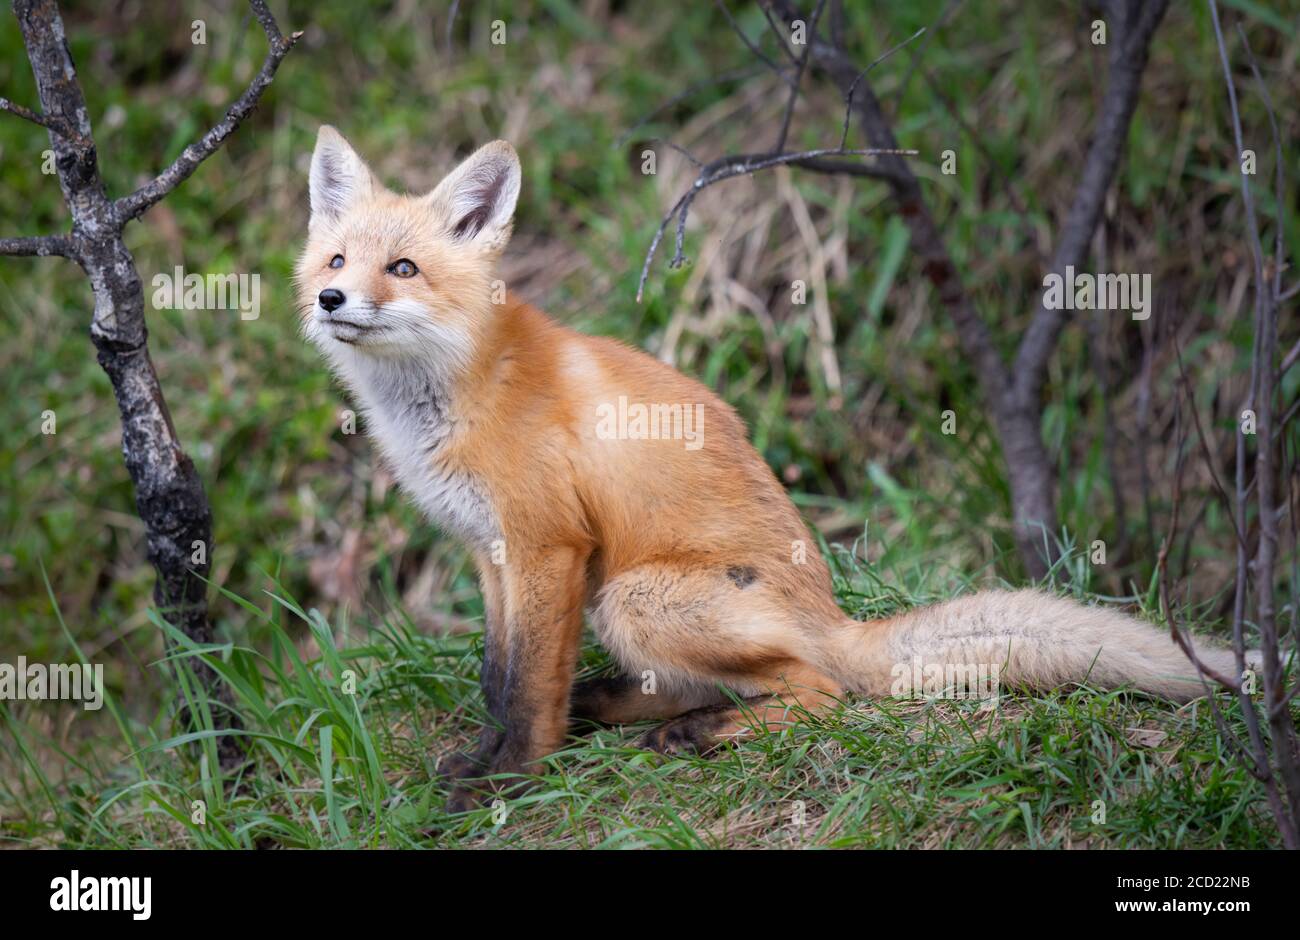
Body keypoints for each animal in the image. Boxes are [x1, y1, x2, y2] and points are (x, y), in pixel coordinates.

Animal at [296, 126, 1246, 811]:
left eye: (404, 268)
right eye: (339, 260)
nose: (331, 298)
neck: (452, 391)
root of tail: (834, 616)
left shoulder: (547, 546)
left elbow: (528, 690)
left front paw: (509, 781)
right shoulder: (491, 552)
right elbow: (501, 679)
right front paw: (494, 757)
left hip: (632, 596)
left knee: (821, 689)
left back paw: (703, 731)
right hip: (619, 601)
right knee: (706, 685)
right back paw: (623, 710)